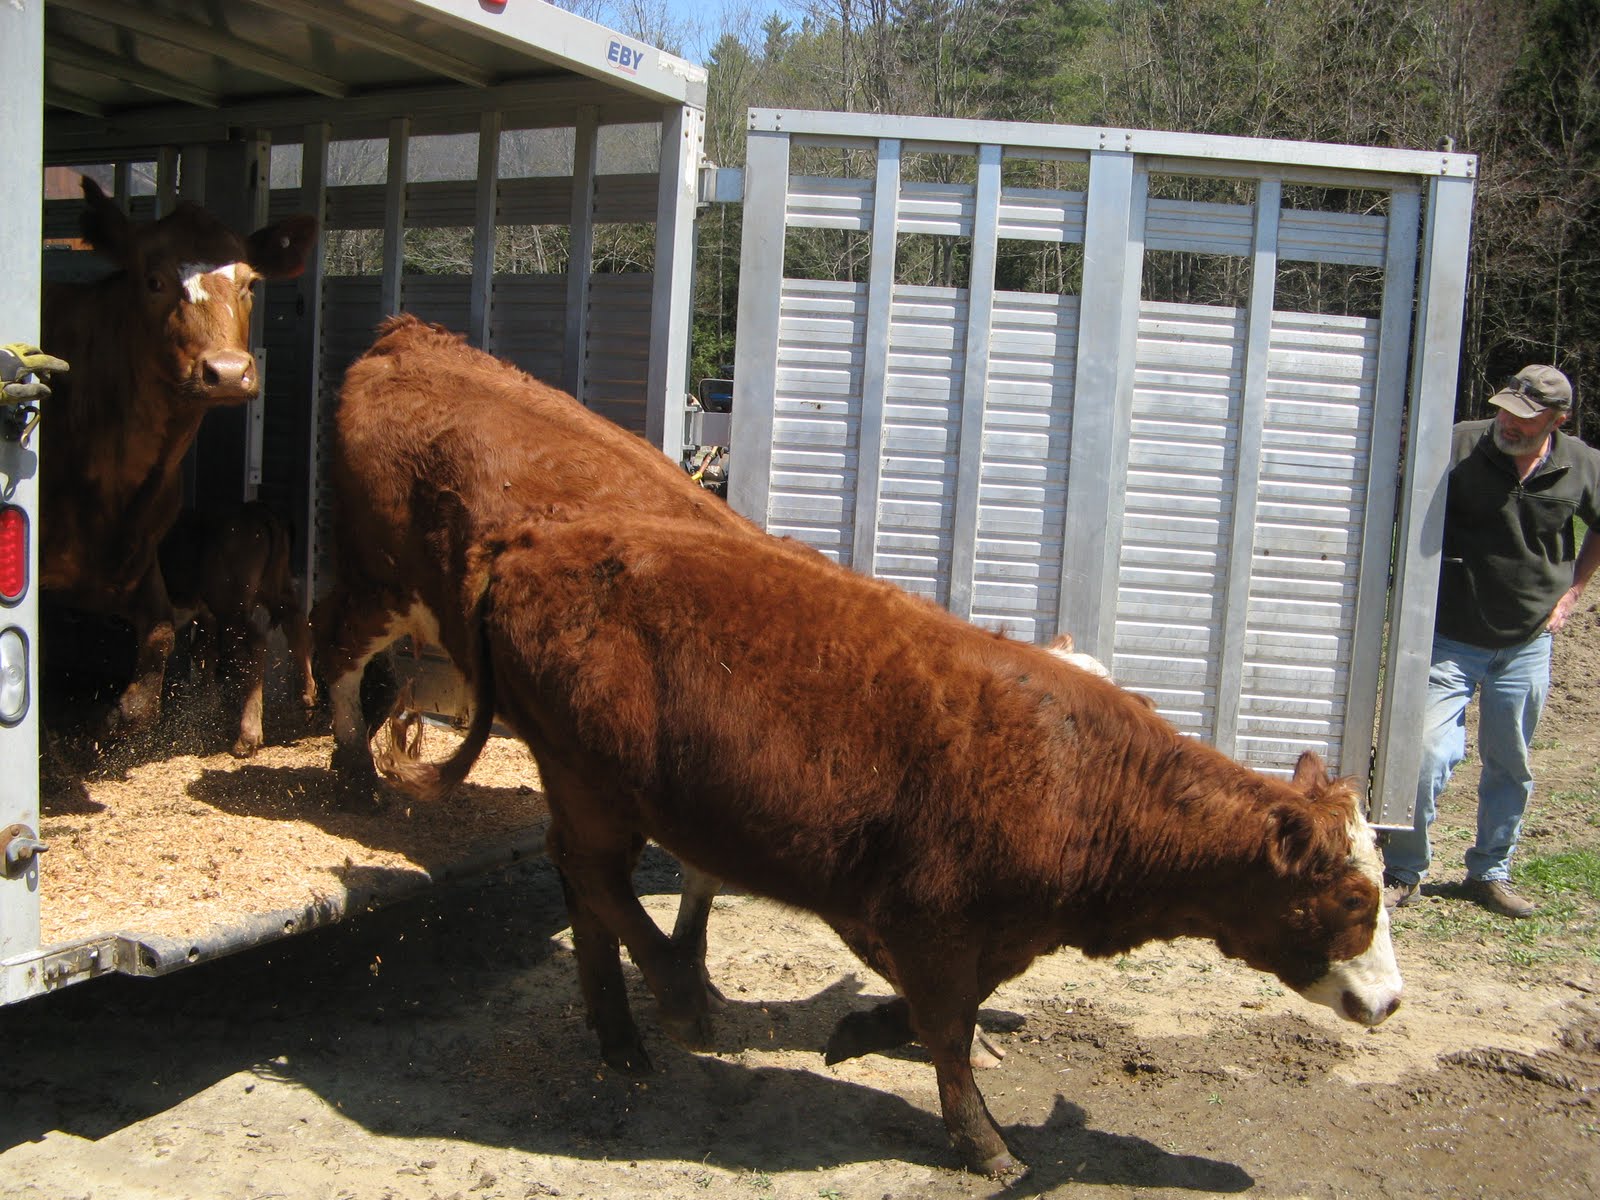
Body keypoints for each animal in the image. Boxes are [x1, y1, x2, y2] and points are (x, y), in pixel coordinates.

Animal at [160, 502, 318, 758]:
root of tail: (257, 511)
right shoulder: (206, 616)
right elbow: (204, 651)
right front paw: (209, 707)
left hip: (232, 607)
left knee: (256, 643)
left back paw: (247, 738)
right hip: (273, 592)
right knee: (296, 626)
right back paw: (308, 704)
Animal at [375, 515, 1403, 1179]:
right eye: (1355, 901)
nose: (1392, 1003)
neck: (1079, 774)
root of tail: (533, 548)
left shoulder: (968, 932)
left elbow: (936, 1015)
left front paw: (862, 1032)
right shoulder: (930, 920)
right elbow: (945, 1028)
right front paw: (986, 1145)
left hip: (587, 787)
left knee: (588, 894)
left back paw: (622, 1039)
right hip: (594, 786)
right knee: (594, 880)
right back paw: (676, 997)